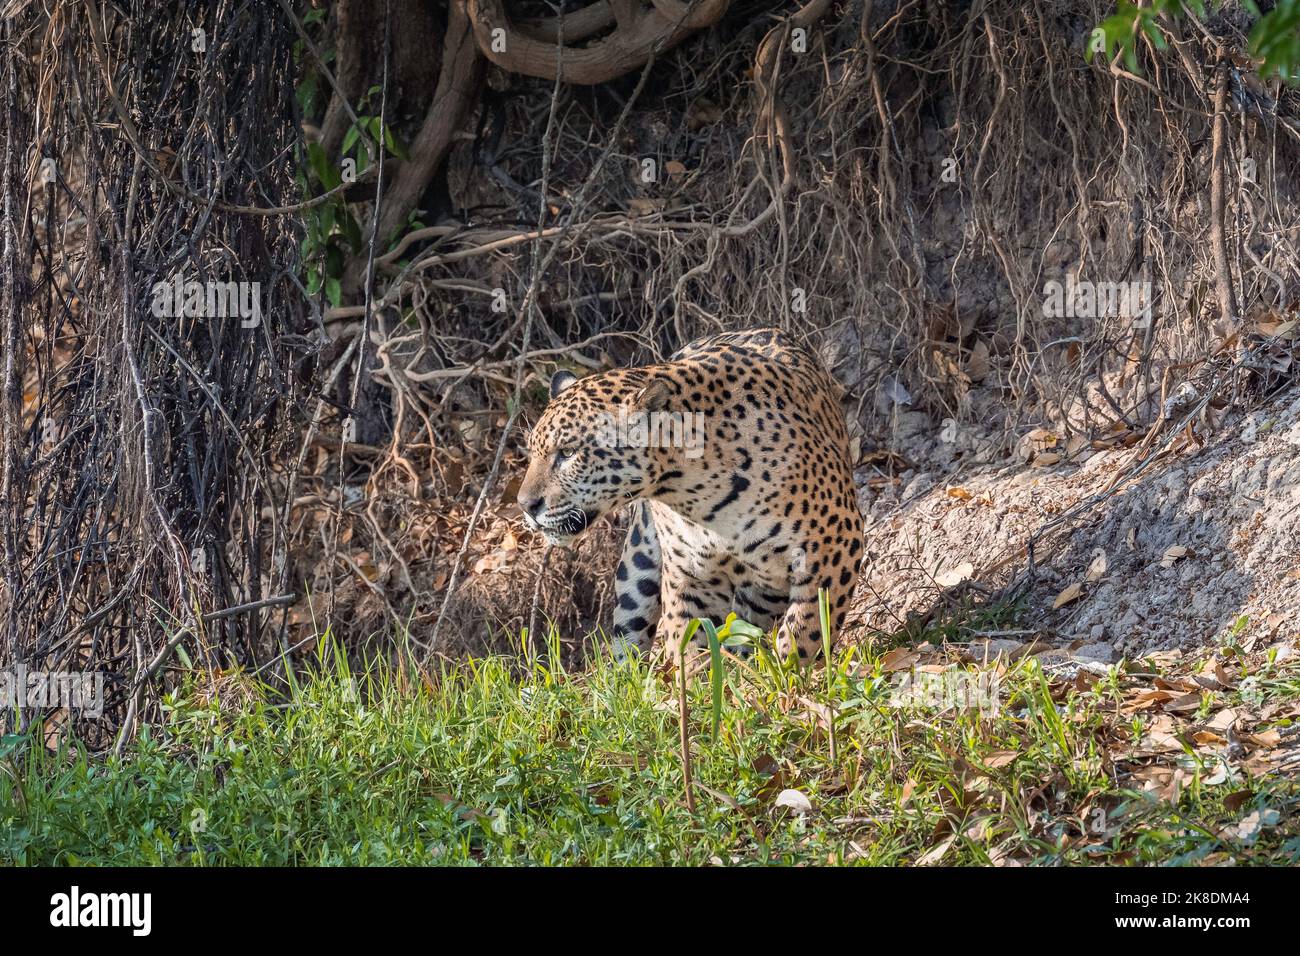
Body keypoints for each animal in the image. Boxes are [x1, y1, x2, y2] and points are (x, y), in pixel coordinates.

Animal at [516, 327, 864, 664]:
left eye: (568, 452)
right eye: (533, 452)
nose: (526, 506)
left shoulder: (833, 544)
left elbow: (805, 632)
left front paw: (791, 676)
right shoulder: (690, 577)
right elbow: (690, 648)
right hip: (638, 565)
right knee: (628, 649)